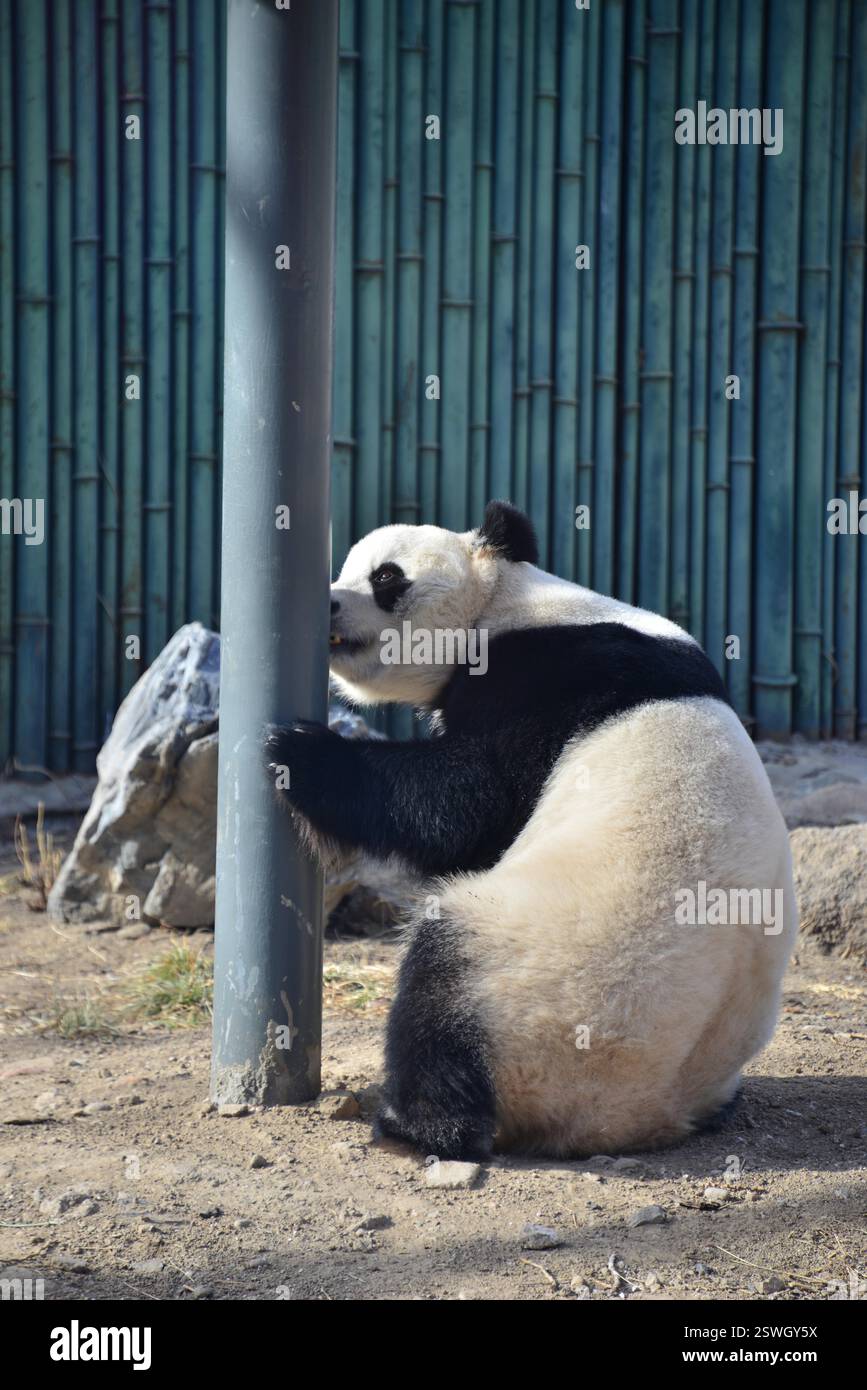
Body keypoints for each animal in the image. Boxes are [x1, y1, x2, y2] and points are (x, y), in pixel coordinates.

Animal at [265, 500, 797, 1161]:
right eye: (344, 569)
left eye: (386, 577)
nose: (331, 604)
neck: (505, 601)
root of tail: (633, 1118)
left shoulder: (553, 681)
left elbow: (467, 801)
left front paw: (300, 753)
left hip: (558, 986)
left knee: (446, 975)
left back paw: (413, 1123)